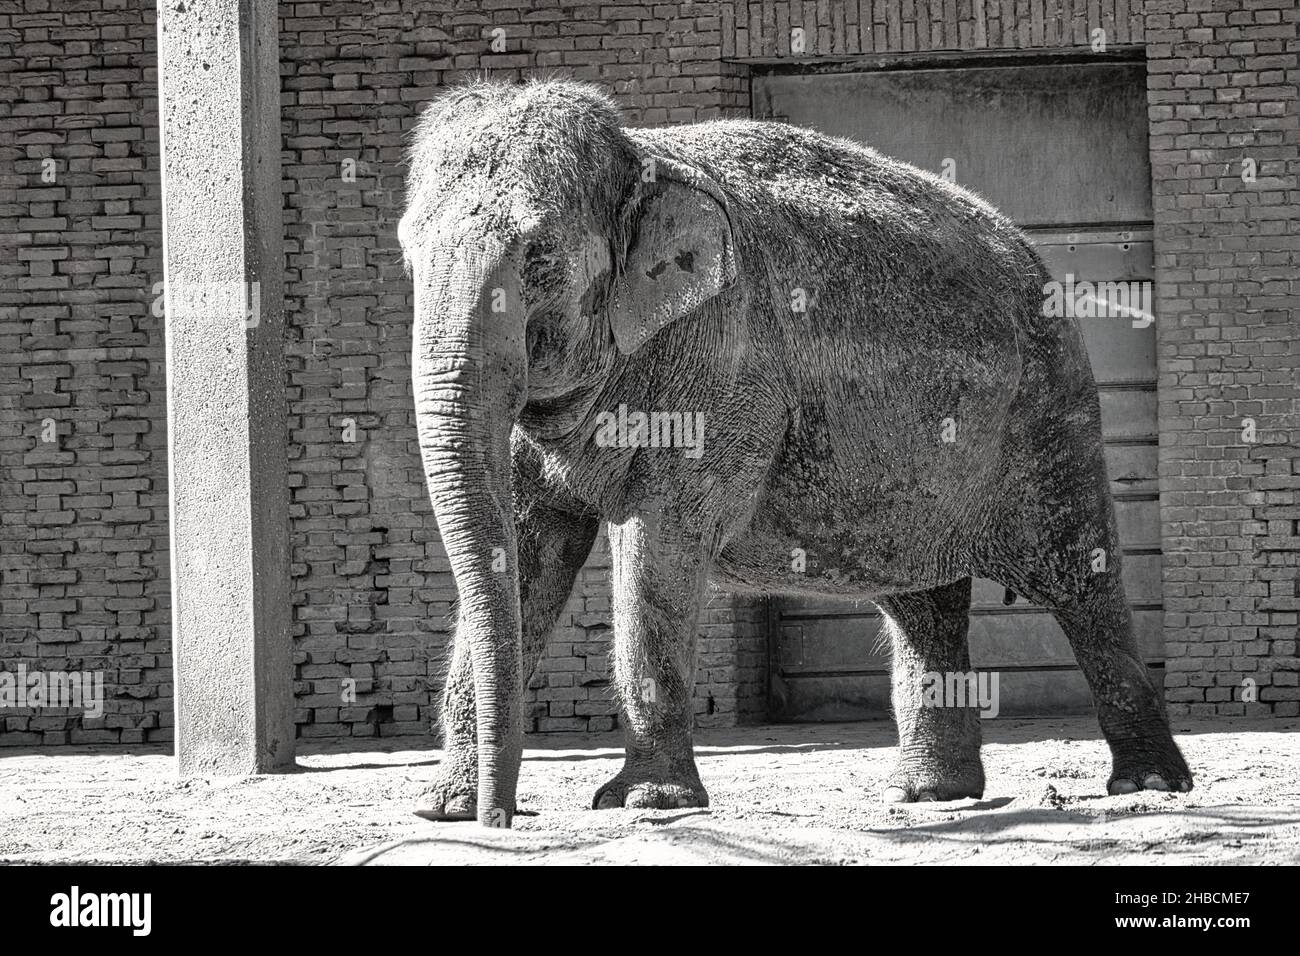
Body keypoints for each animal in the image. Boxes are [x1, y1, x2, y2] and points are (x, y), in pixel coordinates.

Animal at [399, 78, 1193, 827]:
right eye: (408, 254)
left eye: (540, 257)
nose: (502, 816)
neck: (640, 154)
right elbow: (526, 547)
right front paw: (442, 808)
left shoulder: (723, 374)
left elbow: (659, 542)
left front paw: (644, 802)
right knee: (921, 597)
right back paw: (930, 795)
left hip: (1050, 409)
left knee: (1080, 581)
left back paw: (1146, 785)